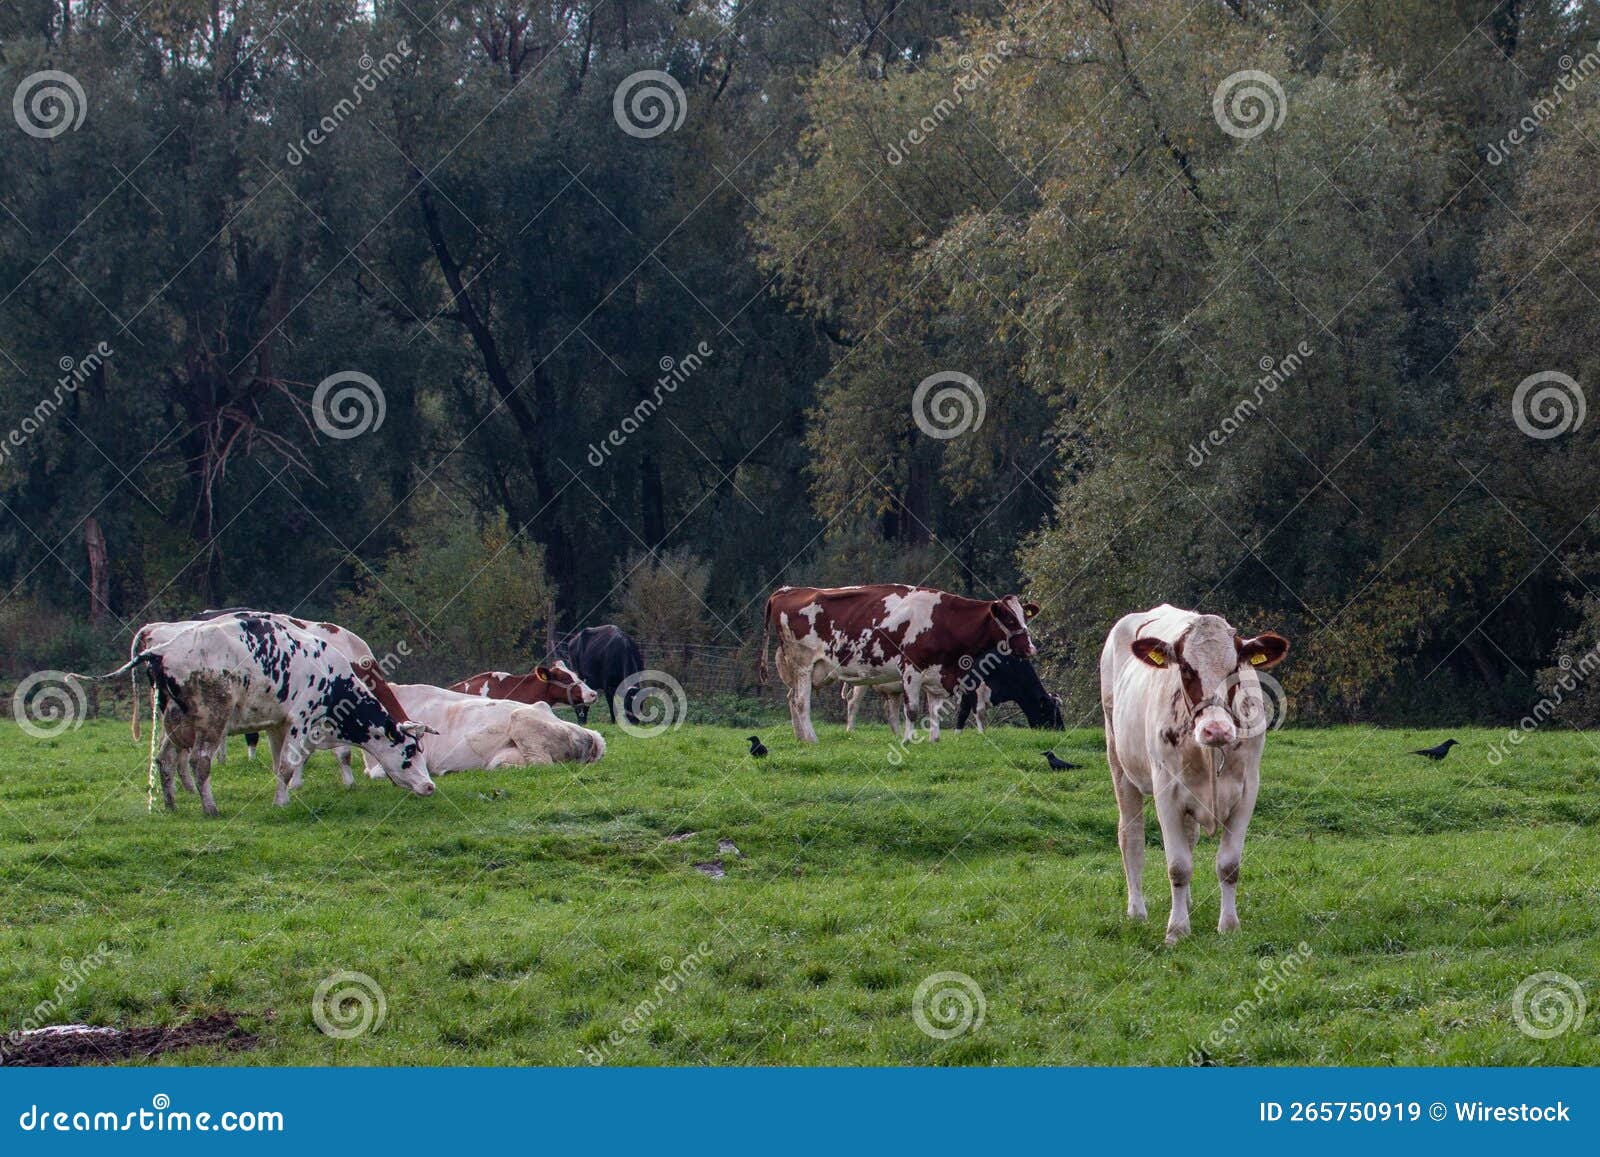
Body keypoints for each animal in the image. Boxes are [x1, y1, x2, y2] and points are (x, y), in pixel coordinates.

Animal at [92, 616, 435, 816]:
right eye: (409, 753)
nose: (430, 787)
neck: (332, 674)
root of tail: (162, 649)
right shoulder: (301, 721)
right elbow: (289, 764)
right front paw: (281, 802)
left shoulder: (277, 724)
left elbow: (279, 763)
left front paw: (287, 792)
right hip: (212, 719)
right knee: (199, 760)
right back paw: (210, 807)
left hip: (176, 721)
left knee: (165, 758)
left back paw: (171, 804)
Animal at [759, 584, 1039, 743]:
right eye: (1010, 619)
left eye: (1025, 616)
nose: (1030, 648)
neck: (942, 620)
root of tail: (787, 590)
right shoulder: (911, 670)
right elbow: (912, 710)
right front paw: (907, 739)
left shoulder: (938, 674)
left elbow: (935, 710)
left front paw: (934, 740)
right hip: (803, 665)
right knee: (800, 702)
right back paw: (811, 738)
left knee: (792, 699)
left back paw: (800, 738)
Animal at [1099, 604, 1288, 945]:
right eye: (1186, 669)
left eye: (1235, 668)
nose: (1216, 729)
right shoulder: (1166, 793)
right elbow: (1177, 867)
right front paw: (1177, 930)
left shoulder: (1247, 792)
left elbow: (1228, 865)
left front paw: (1229, 925)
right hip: (1119, 763)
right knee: (1131, 837)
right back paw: (1137, 911)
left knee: (1189, 837)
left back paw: (1185, 902)